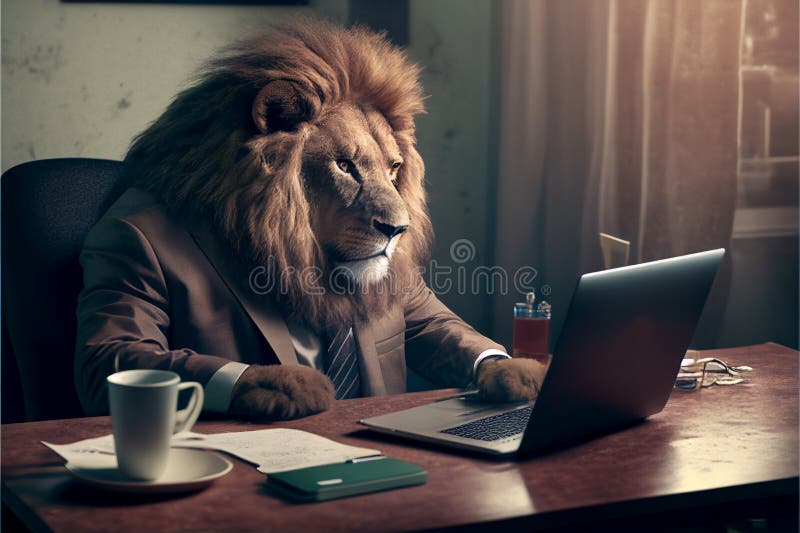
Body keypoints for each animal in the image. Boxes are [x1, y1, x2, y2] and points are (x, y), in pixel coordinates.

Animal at [74, 18, 546, 420]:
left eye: (394, 168)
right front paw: (289, 385)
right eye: (344, 166)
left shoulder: (414, 301)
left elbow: (442, 324)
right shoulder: (127, 260)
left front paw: (521, 373)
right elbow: (117, 350)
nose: (398, 230)